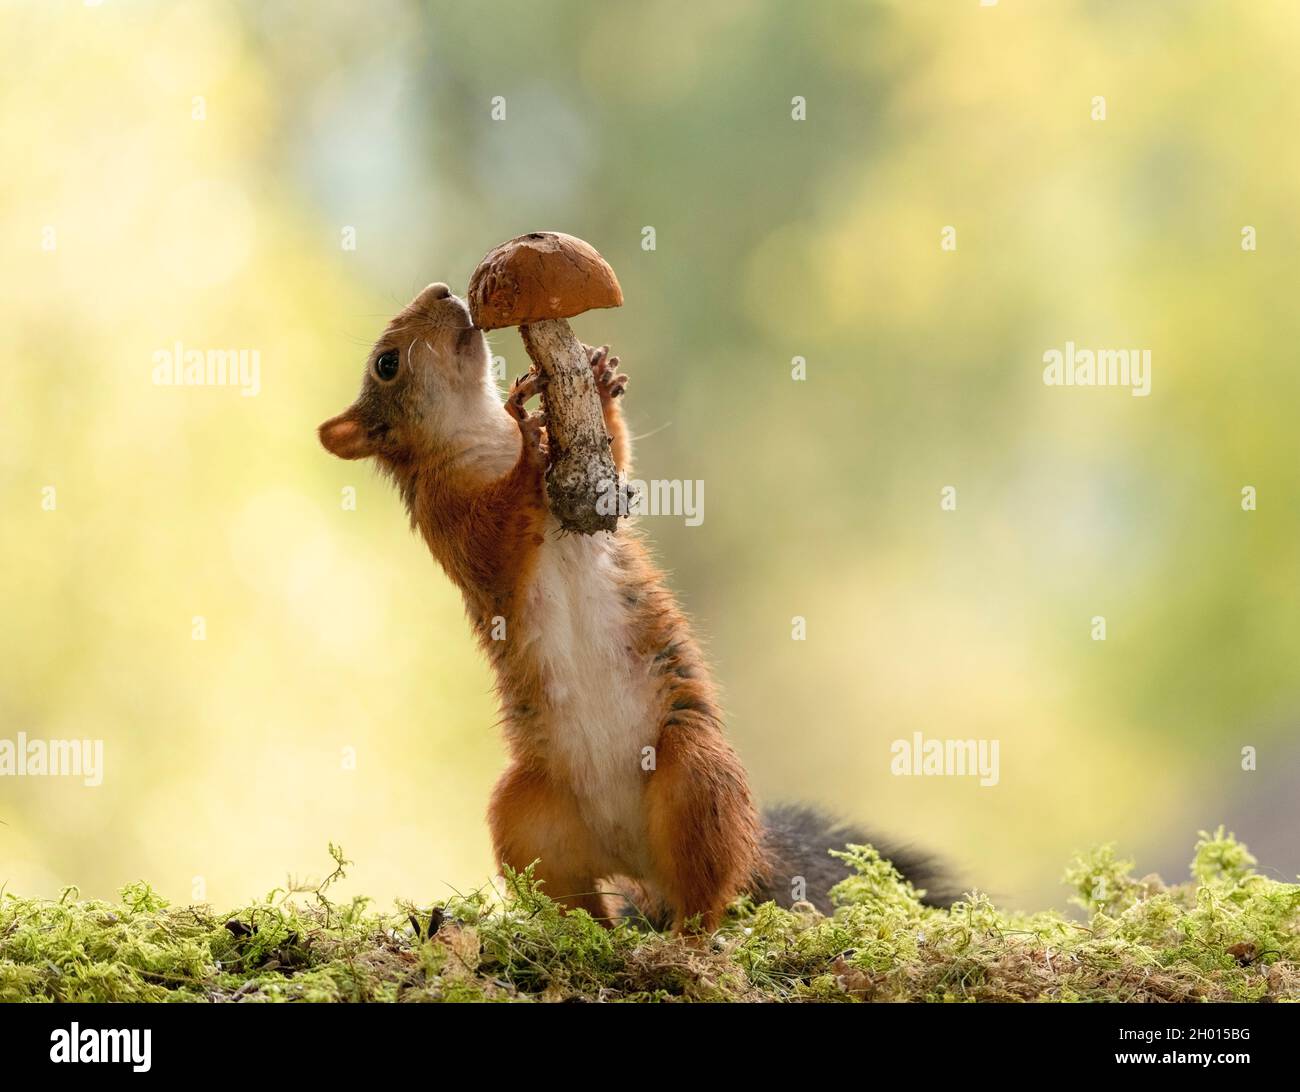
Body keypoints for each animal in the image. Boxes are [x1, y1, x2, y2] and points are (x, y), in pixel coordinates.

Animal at [319, 282, 954, 931]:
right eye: (387, 364)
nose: (442, 290)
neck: (479, 433)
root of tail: (630, 856)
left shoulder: (604, 492)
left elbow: (617, 459)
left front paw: (595, 386)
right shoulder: (449, 522)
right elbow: (493, 538)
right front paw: (529, 452)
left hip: (693, 770)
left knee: (703, 885)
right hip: (524, 816)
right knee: (585, 900)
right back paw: (605, 935)